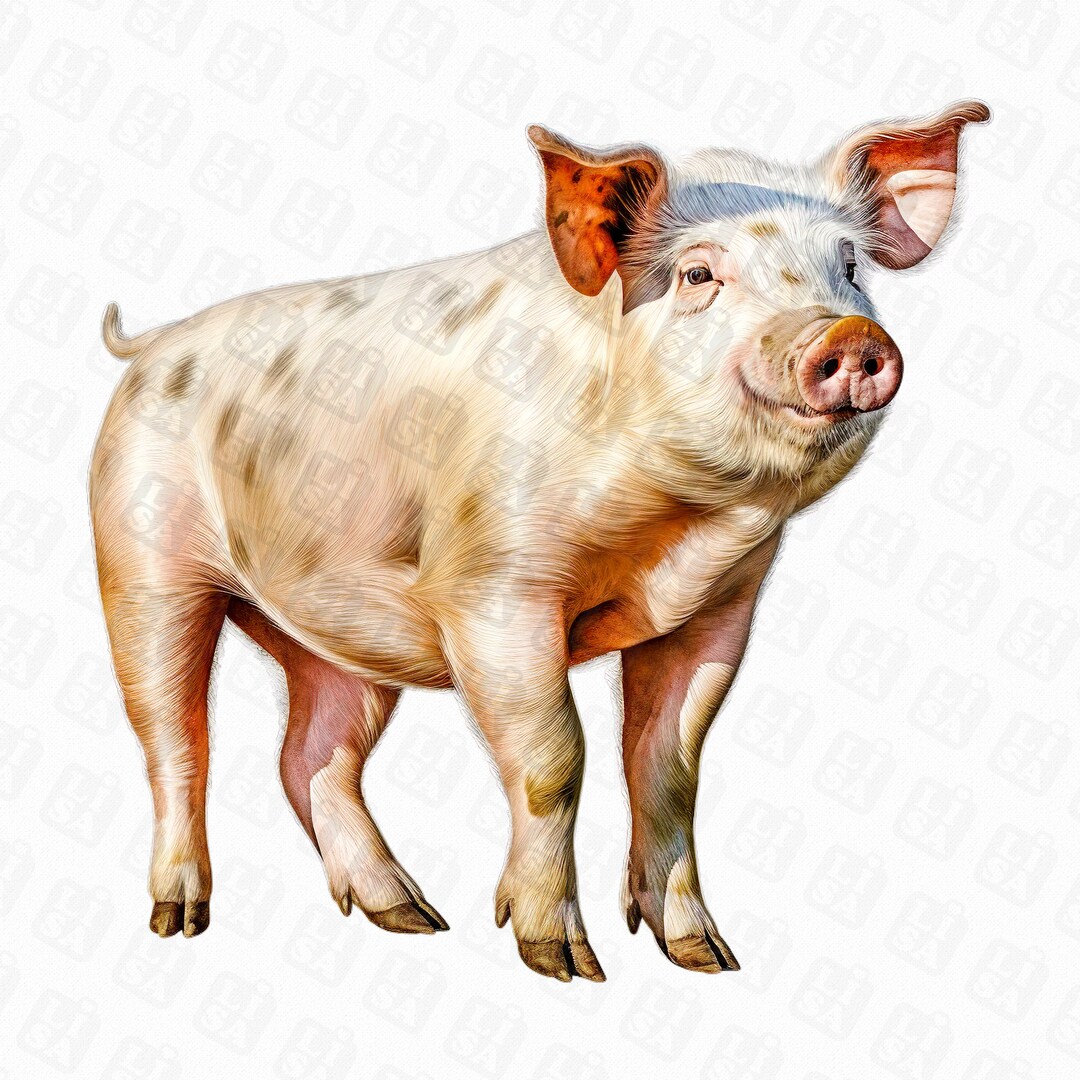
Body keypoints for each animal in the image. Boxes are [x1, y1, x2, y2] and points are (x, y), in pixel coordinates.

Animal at [90, 100, 989, 981]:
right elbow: (557, 759)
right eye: (698, 275)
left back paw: (411, 917)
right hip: (140, 561)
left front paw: (706, 958)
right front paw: (563, 963)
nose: (848, 337)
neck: (679, 527)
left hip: (337, 627)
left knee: (311, 754)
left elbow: (669, 764)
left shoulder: (721, 605)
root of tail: (150, 348)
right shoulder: (491, 589)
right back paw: (180, 919)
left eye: (852, 268)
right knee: (175, 740)